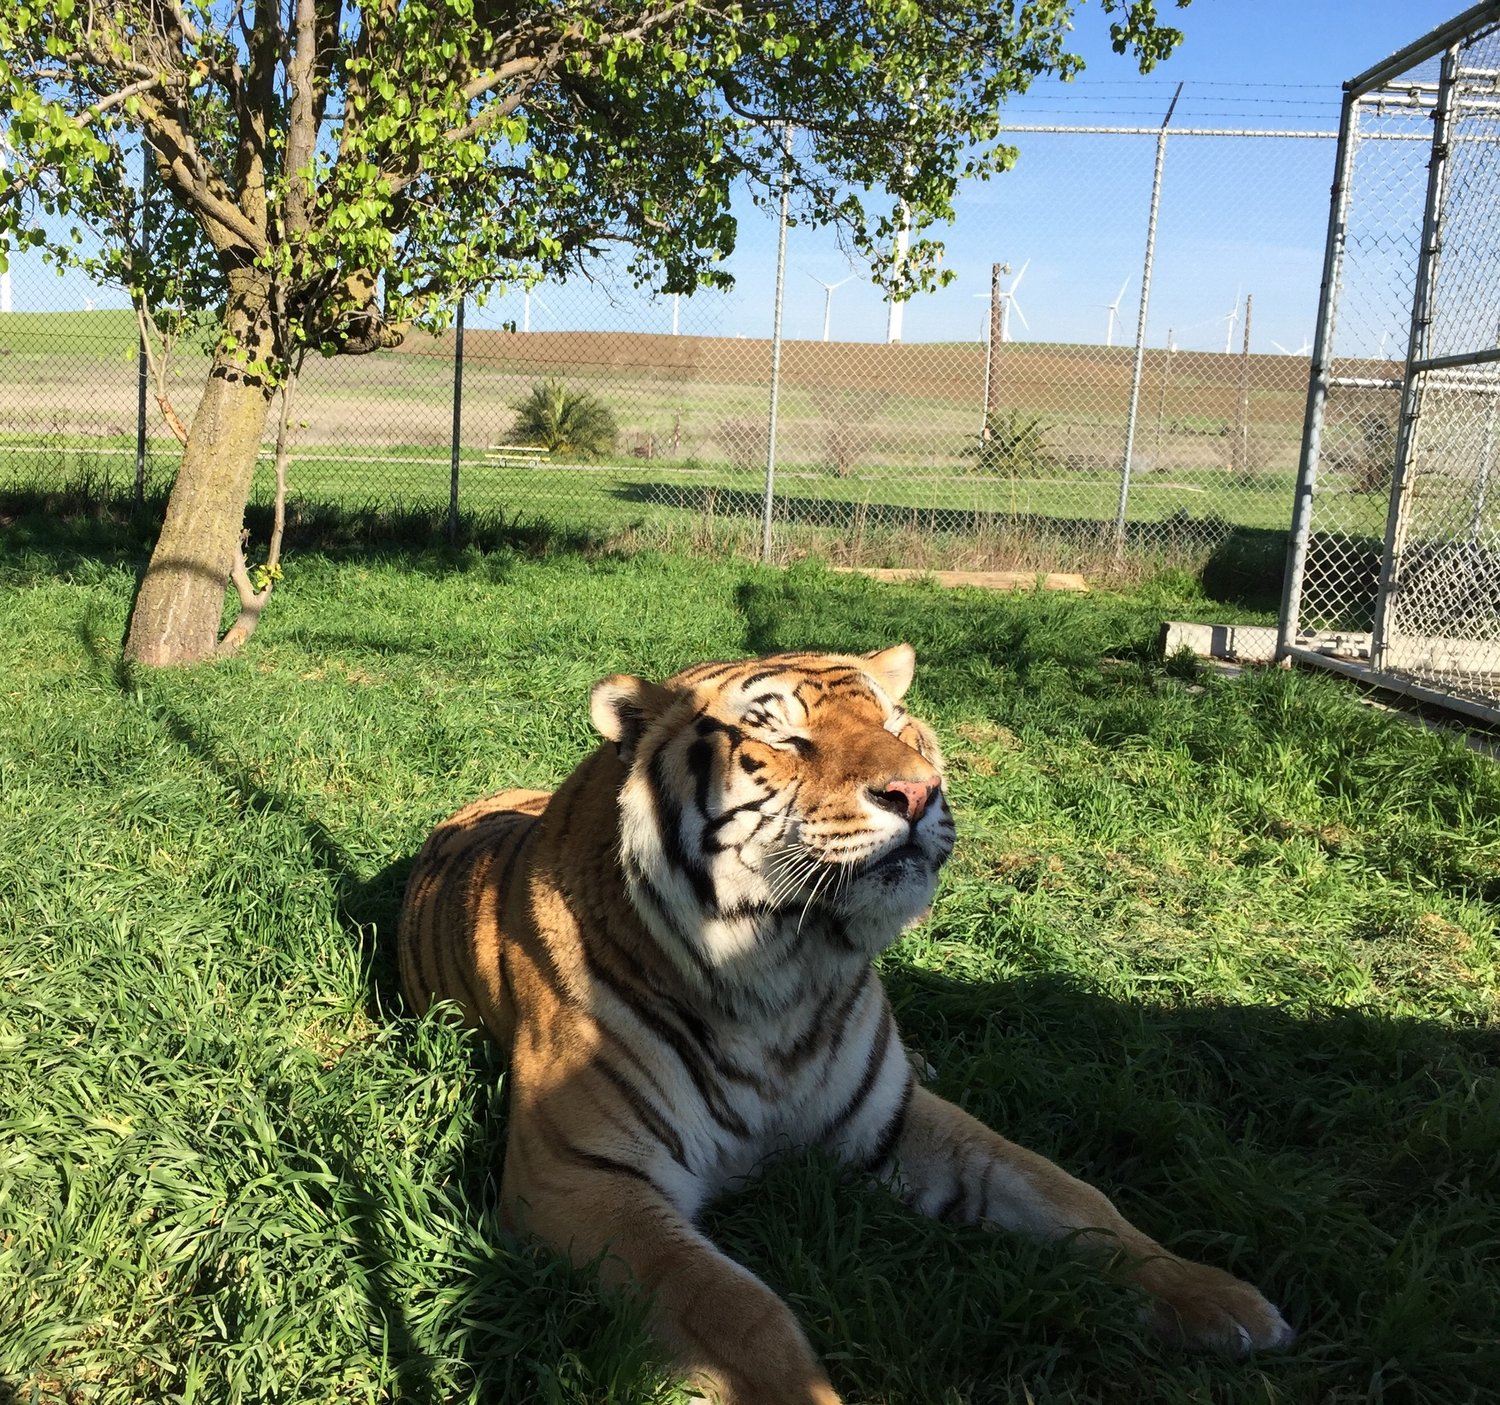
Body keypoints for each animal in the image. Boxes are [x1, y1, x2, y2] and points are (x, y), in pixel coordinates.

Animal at [398, 643, 1294, 1404]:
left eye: (897, 726)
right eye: (785, 737)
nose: (917, 793)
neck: (779, 972)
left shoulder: (890, 1121)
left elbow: (1068, 1192)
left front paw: (1220, 1297)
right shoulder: (580, 1177)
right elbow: (738, 1309)